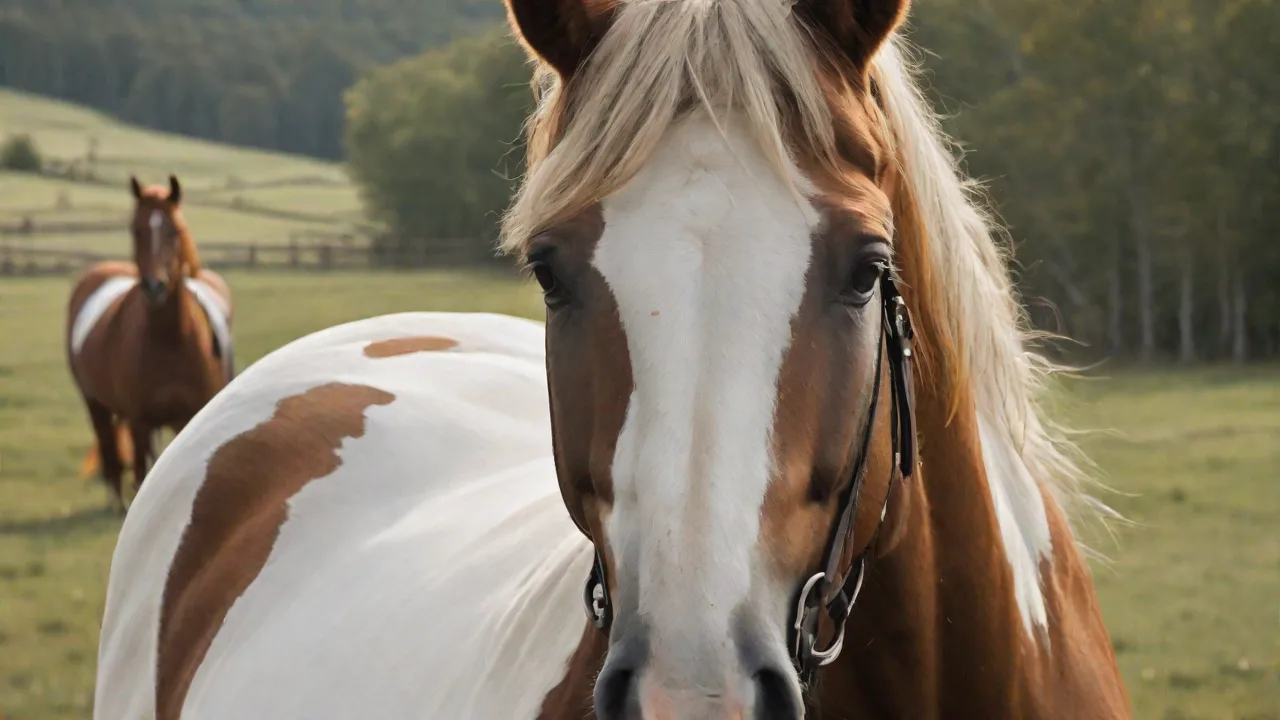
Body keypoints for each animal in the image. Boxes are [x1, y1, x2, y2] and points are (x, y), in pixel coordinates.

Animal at [67, 174, 235, 512]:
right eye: (136, 229)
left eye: (174, 230)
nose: (154, 286)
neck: (170, 340)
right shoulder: (140, 422)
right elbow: (141, 474)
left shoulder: (188, 417)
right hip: (96, 405)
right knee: (110, 453)